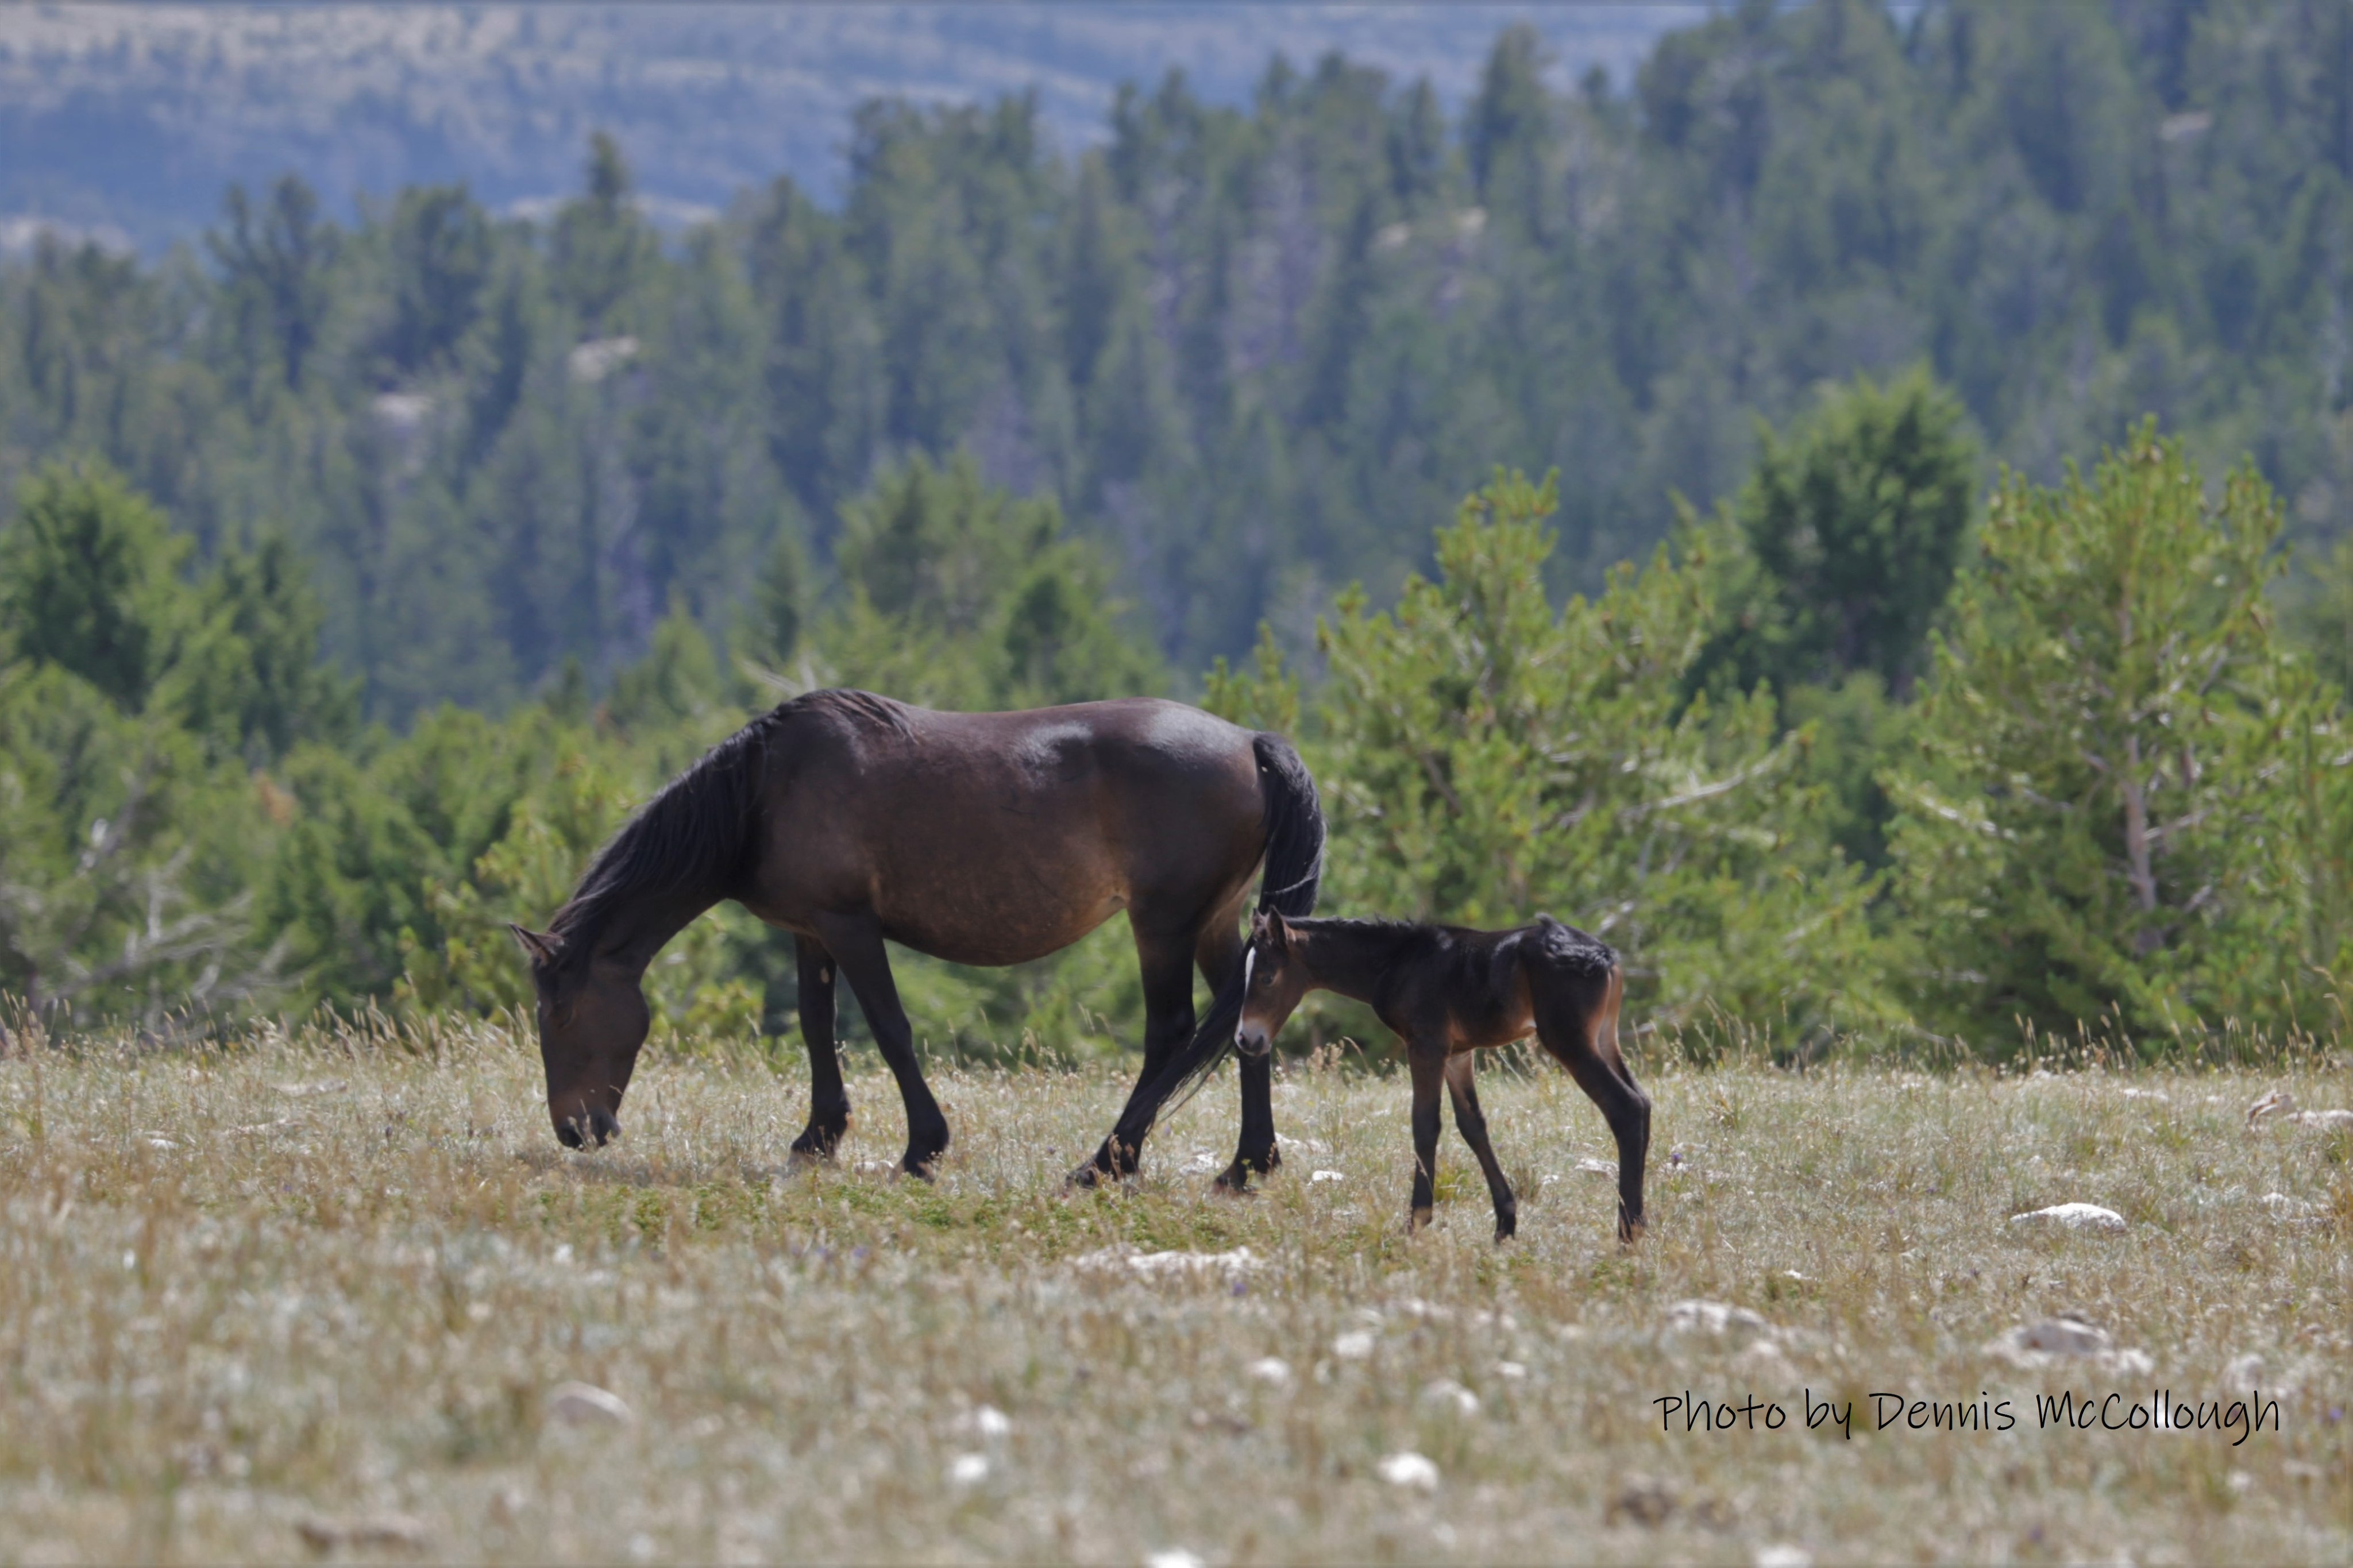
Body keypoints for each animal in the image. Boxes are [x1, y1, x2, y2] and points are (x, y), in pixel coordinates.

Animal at [509, 689, 1324, 1185]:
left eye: (562, 1014)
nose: (575, 1131)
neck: (764, 792)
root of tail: (1250, 742)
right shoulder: (810, 932)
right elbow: (816, 1026)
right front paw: (816, 1139)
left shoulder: (850, 926)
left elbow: (889, 1029)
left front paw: (920, 1148)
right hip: (1213, 919)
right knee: (1246, 1016)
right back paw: (1246, 1166)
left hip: (1162, 920)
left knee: (1173, 1031)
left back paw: (1103, 1163)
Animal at [1233, 910, 1649, 1242]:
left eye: (1267, 977)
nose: (1246, 1040)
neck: (1399, 960)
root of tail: (1604, 956)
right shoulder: (1459, 1055)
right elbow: (1473, 1126)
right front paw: (1505, 1224)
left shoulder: (1426, 1046)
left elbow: (1425, 1124)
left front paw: (1415, 1221)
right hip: (1604, 1038)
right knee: (1643, 1103)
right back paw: (1641, 1223)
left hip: (1570, 1041)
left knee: (1625, 1108)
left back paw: (1627, 1233)